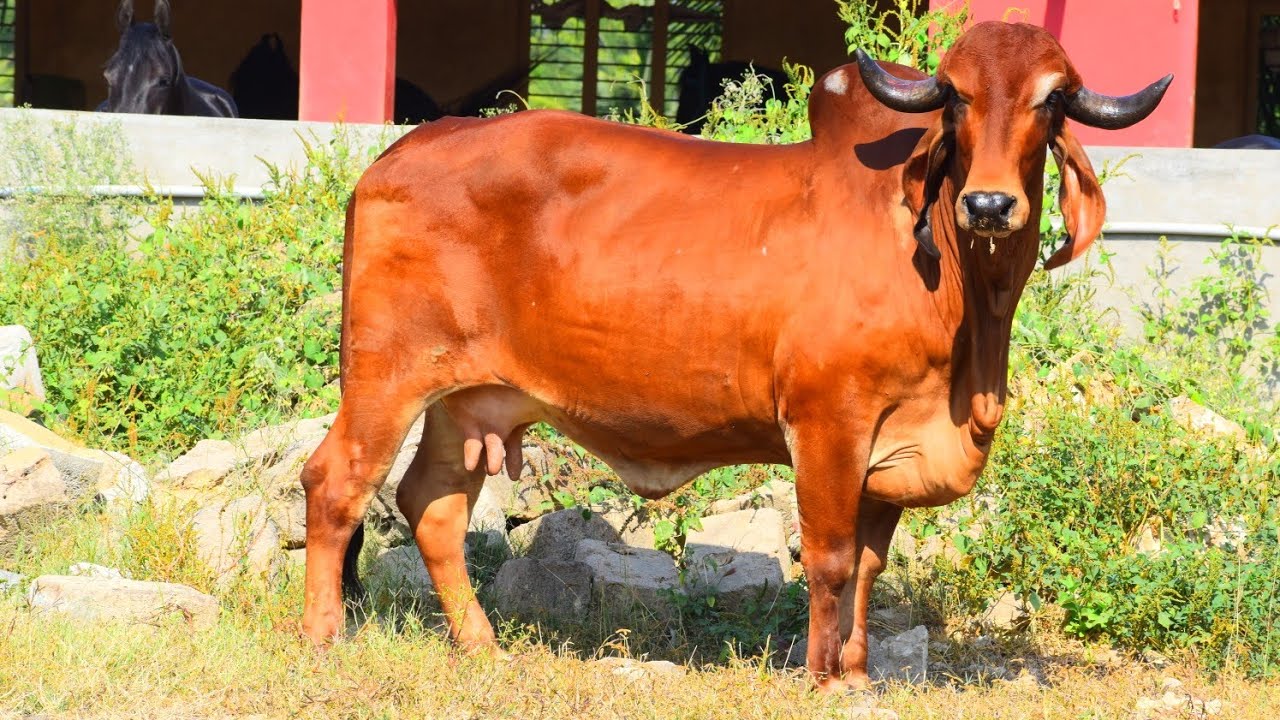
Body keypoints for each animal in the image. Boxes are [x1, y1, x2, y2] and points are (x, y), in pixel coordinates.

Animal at [299, 21, 1170, 691]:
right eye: (956, 96)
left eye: (1051, 98)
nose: (989, 203)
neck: (967, 306)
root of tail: (396, 155)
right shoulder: (829, 421)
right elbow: (830, 559)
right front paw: (823, 679)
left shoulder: (892, 443)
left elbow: (870, 566)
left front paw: (859, 675)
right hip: (386, 375)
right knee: (335, 483)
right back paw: (321, 637)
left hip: (466, 399)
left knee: (433, 507)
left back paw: (481, 644)